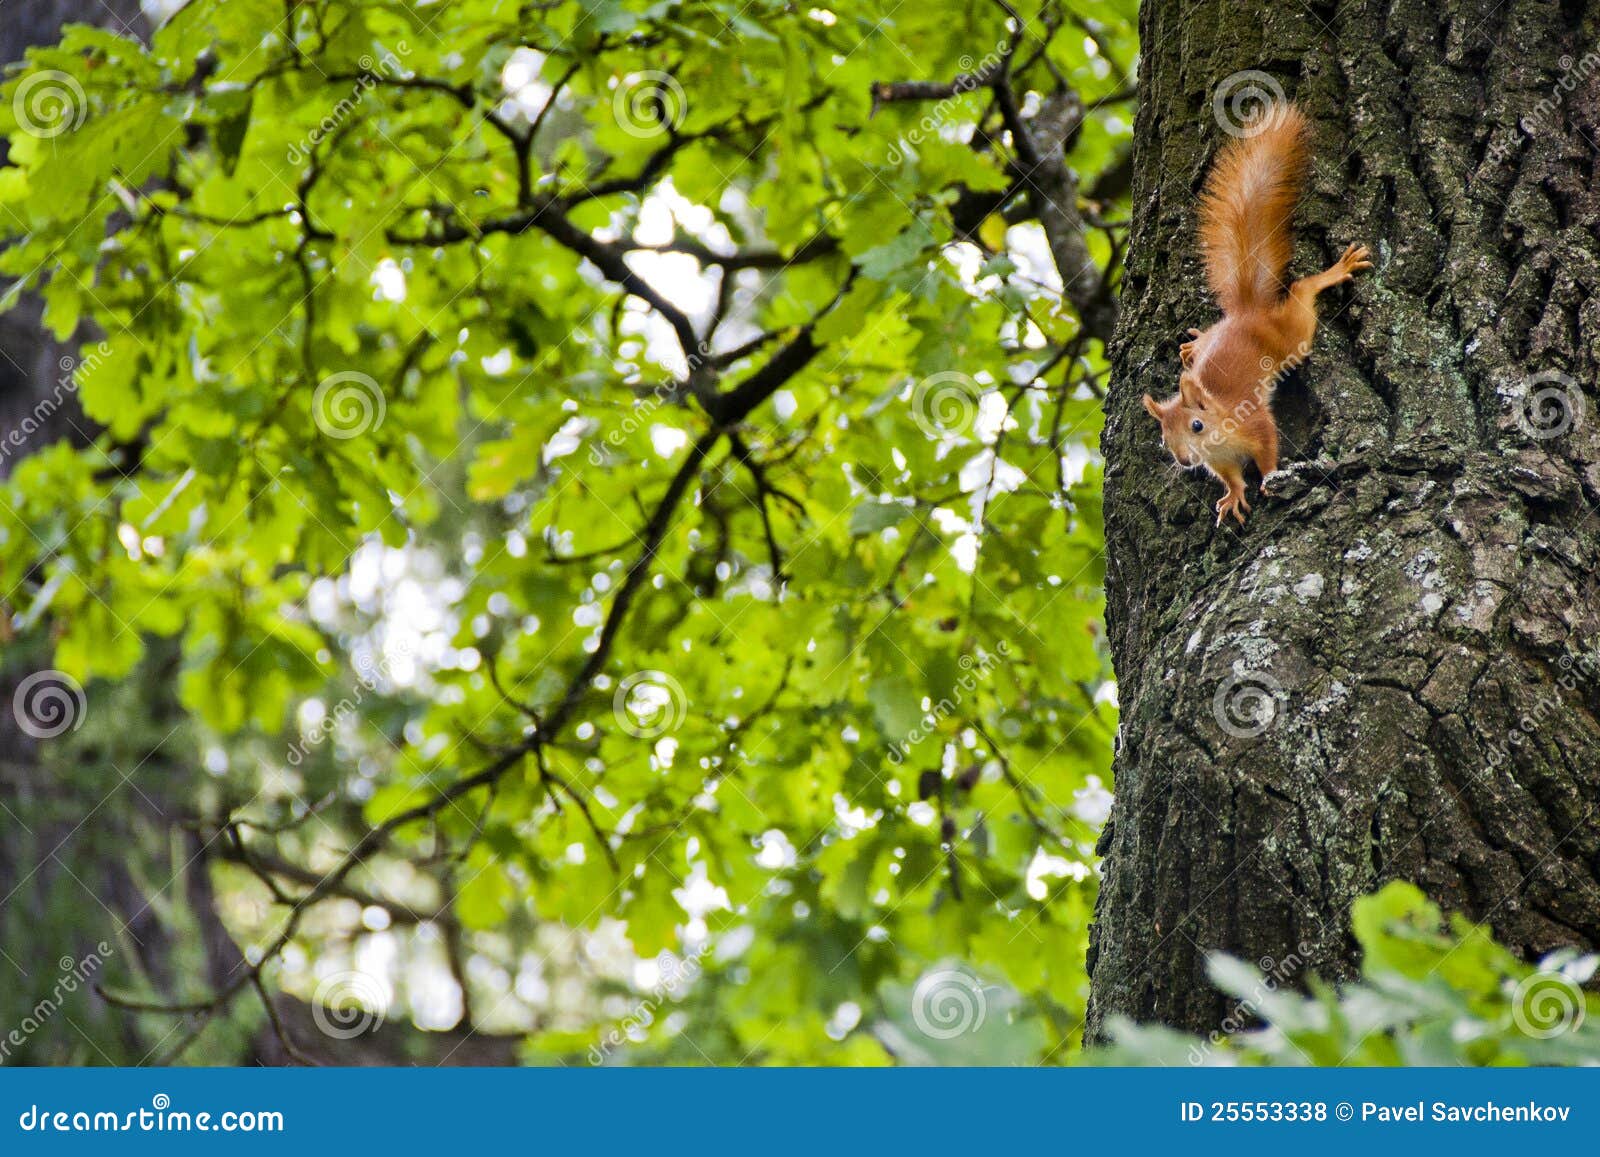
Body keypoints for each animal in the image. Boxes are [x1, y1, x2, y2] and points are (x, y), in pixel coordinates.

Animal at [1143, 101, 1371, 526]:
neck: (1217, 437)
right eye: (1164, 439)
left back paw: (1333, 272)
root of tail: (1248, 312)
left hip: (1291, 338)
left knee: (1300, 294)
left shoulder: (1253, 423)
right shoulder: (1219, 461)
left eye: (1196, 425)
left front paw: (1268, 478)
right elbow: (1231, 476)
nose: (1184, 461)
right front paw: (1233, 496)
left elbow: (1267, 448)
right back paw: (1195, 345)